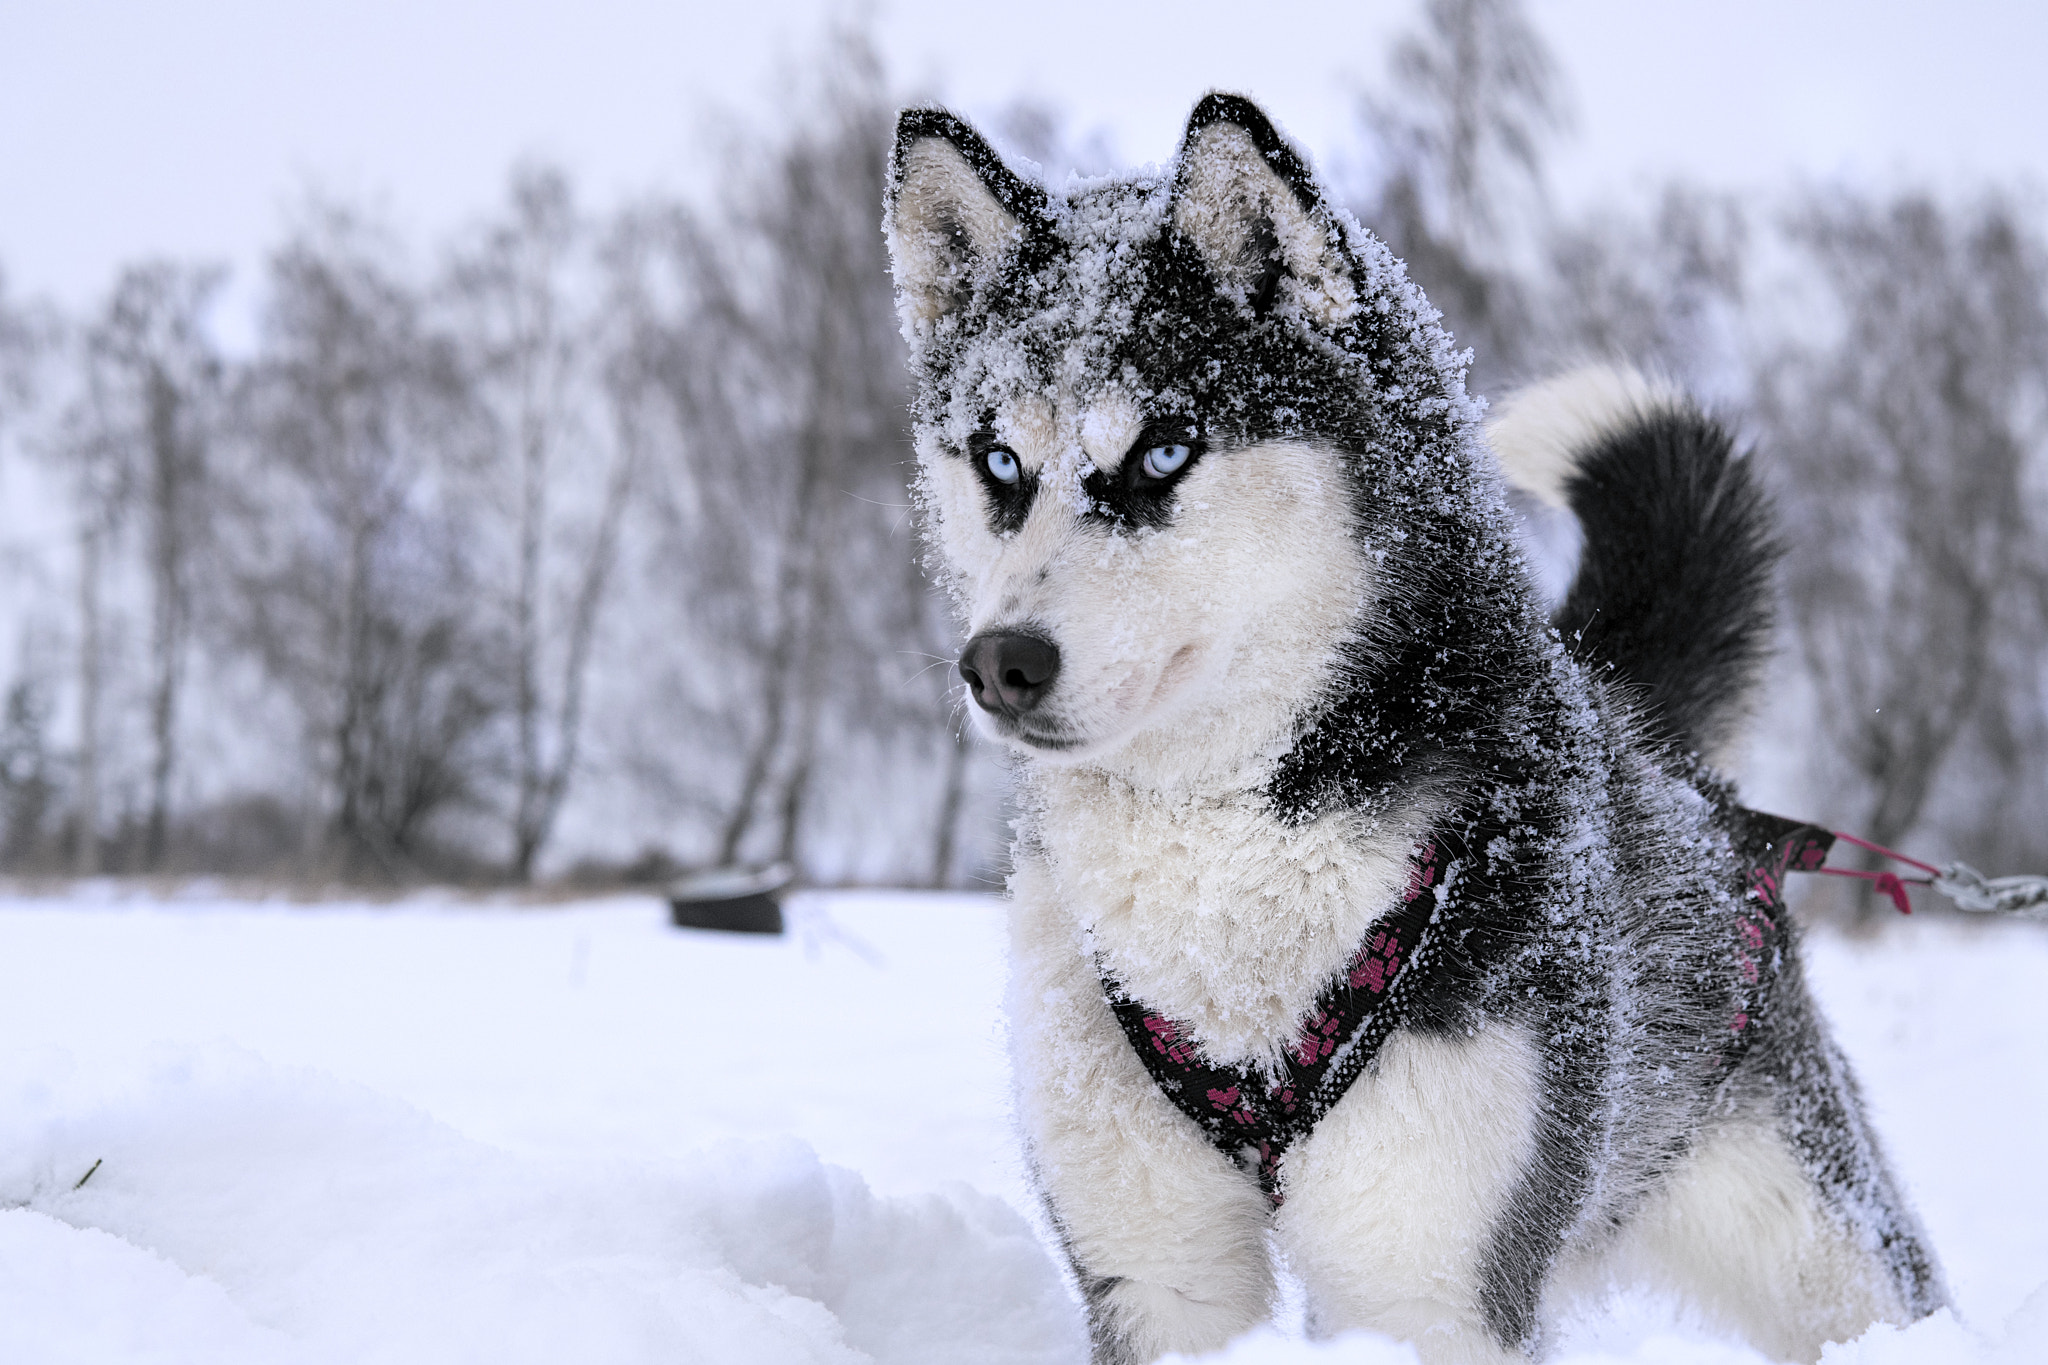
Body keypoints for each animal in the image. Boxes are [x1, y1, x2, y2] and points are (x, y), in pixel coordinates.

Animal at [880, 96, 1933, 1365]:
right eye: (998, 460)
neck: (1221, 858)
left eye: (1162, 449)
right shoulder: (1157, 1276)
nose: (1001, 663)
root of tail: (1648, 734)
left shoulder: (1426, 1285)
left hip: (1818, 1244)